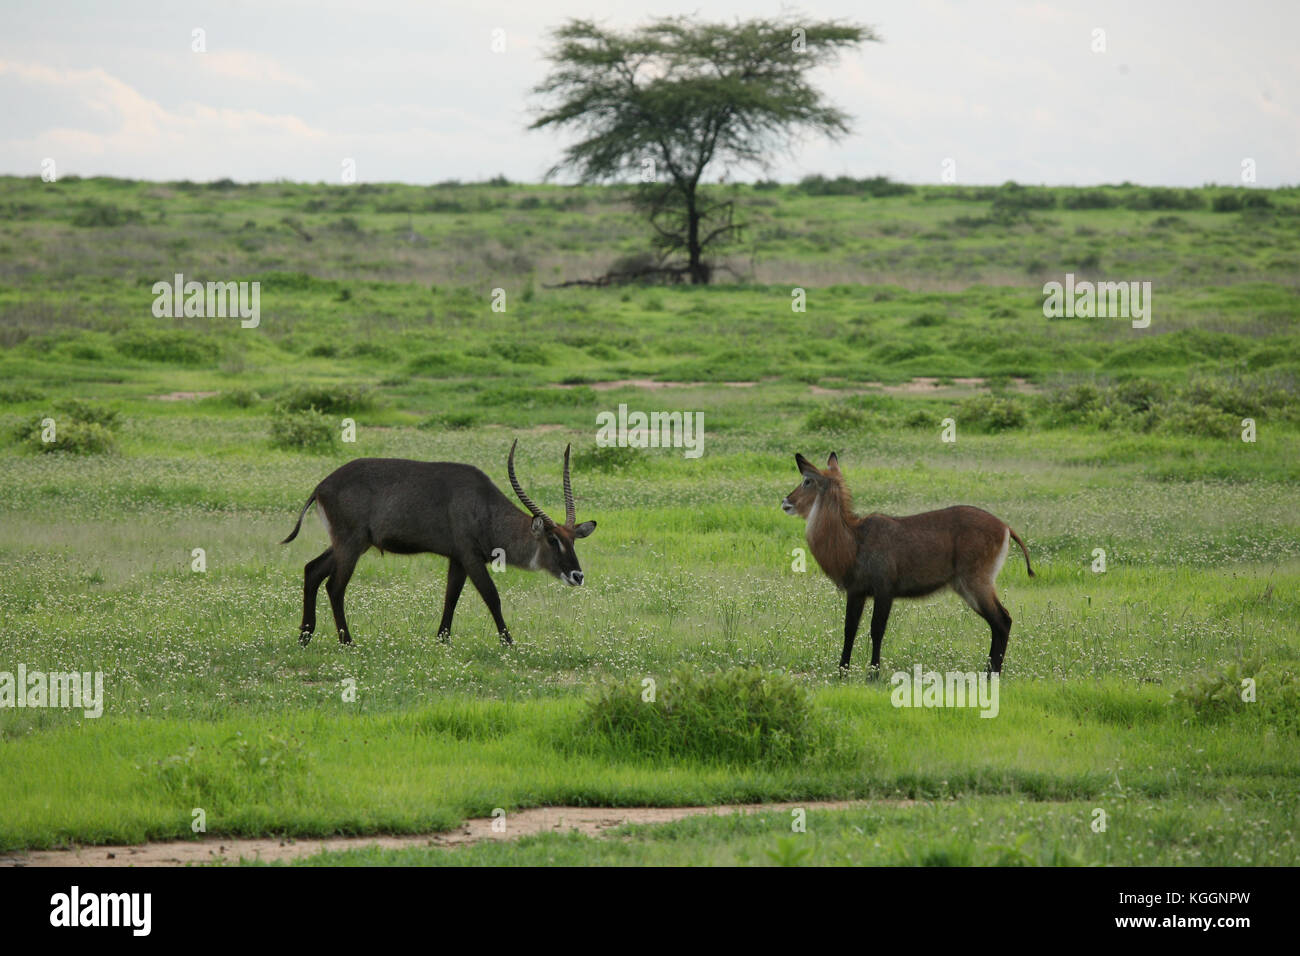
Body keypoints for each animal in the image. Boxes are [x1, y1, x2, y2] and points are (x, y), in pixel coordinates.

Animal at [281, 440, 596, 646]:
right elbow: (491, 596)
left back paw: (305, 636)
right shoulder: (470, 556)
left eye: (573, 540)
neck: (484, 507)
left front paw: (442, 639)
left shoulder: (457, 559)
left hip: (349, 544)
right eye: (553, 540)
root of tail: (321, 485)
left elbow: (451, 597)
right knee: (335, 586)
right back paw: (347, 642)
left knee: (312, 570)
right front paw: (509, 643)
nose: (577, 576)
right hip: (351, 544)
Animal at [782, 452, 1033, 673]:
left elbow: (877, 630)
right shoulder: (857, 592)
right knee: (997, 623)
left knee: (1003, 620)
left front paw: (872, 675)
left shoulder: (884, 590)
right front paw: (842, 672)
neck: (853, 541)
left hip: (976, 582)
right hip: (966, 586)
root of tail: (1005, 527)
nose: (786, 501)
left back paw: (992, 674)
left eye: (807, 480)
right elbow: (849, 630)